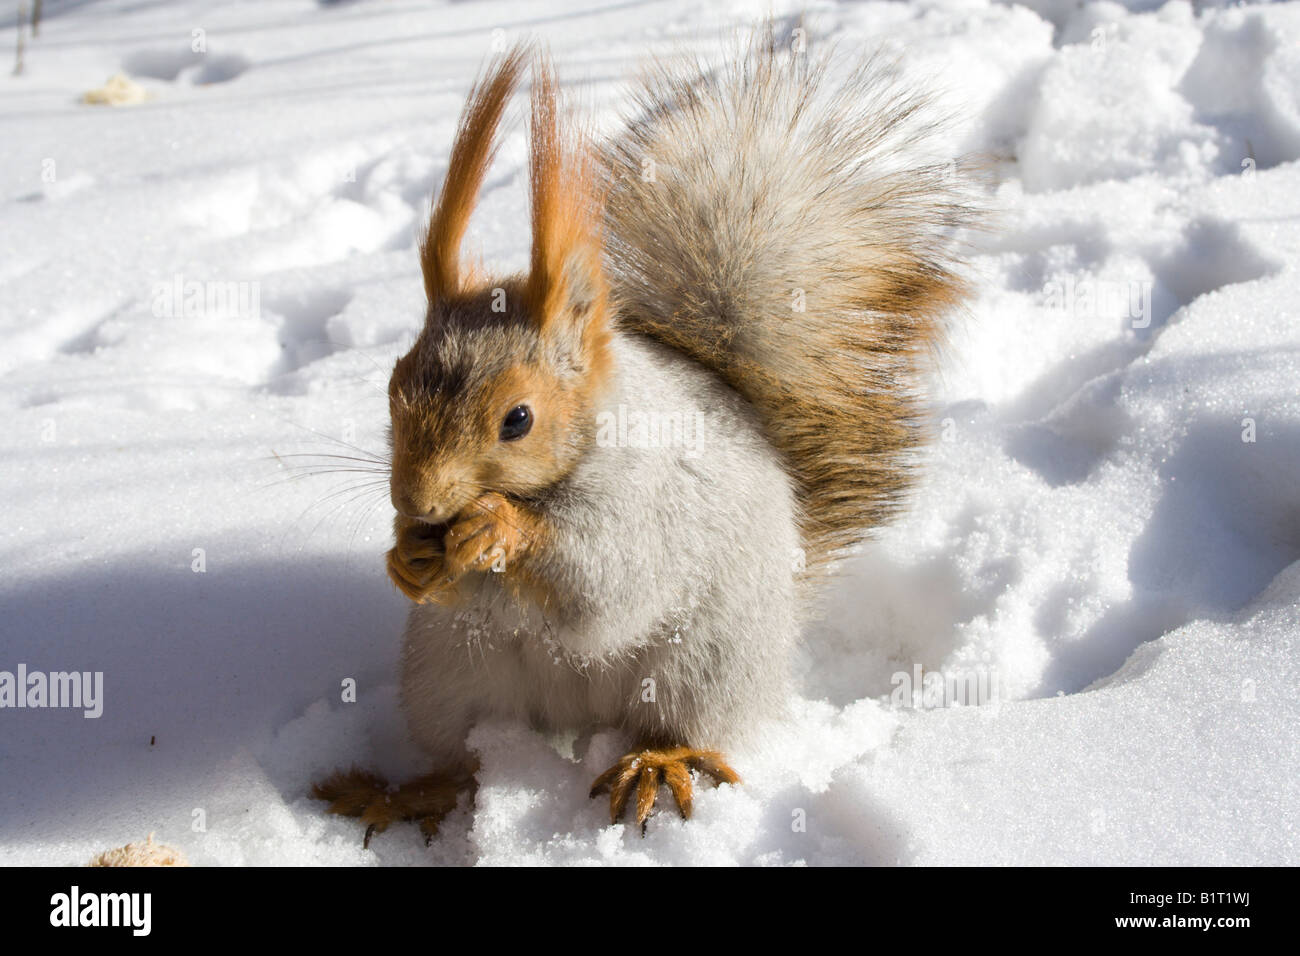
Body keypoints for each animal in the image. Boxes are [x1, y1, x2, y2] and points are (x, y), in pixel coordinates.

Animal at [313, 30, 977, 843]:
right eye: (392, 387)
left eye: (518, 419)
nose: (419, 502)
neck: (584, 450)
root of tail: (578, 713)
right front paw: (407, 557)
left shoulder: (647, 506)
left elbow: (606, 585)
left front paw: (499, 527)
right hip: (449, 675)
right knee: (465, 760)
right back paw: (407, 793)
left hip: (706, 661)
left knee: (677, 722)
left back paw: (657, 766)